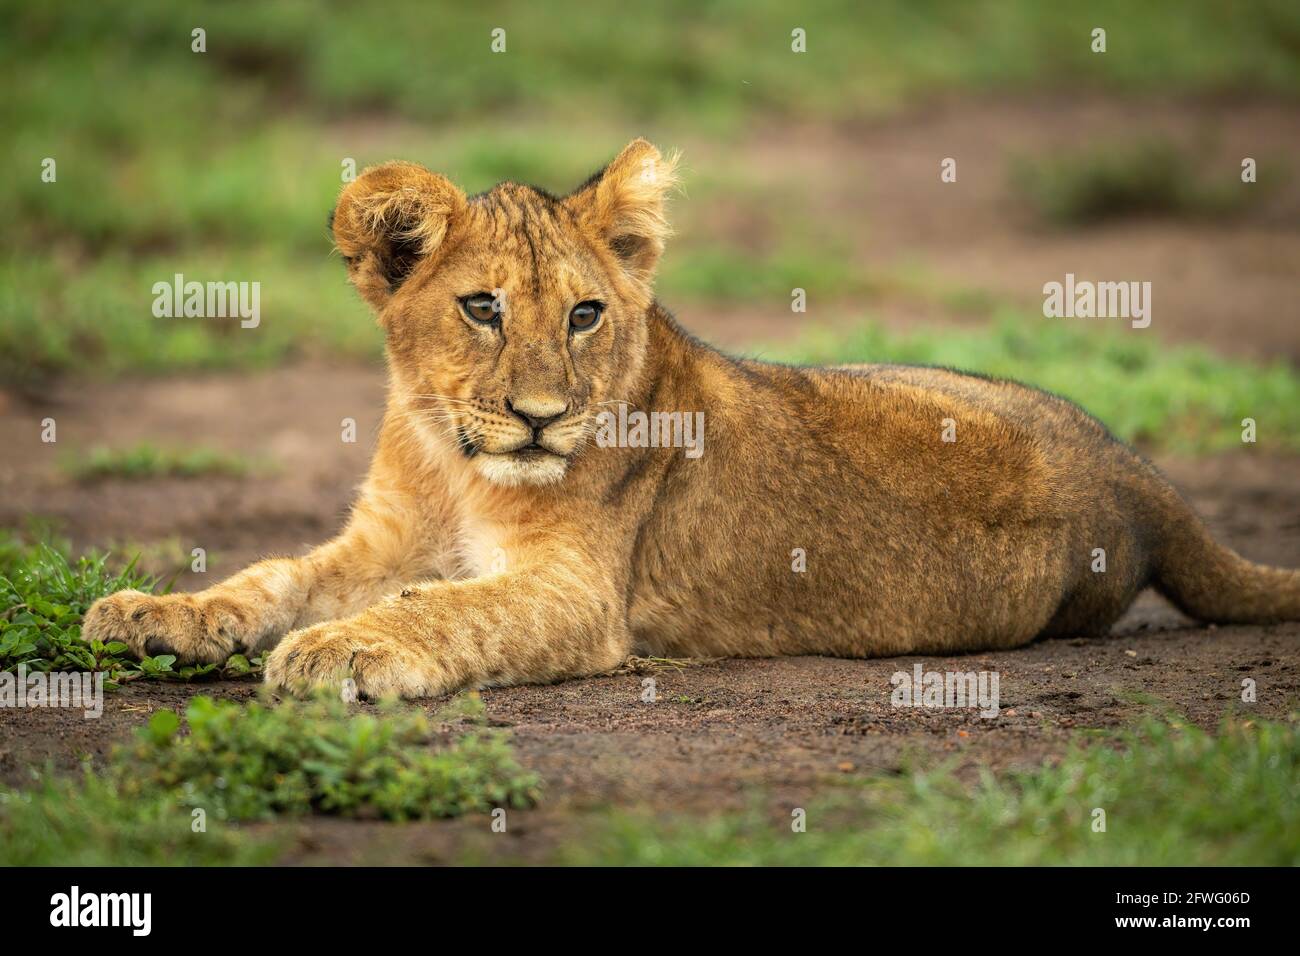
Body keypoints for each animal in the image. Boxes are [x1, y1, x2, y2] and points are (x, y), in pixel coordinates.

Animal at [83, 139, 1300, 699]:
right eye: (482, 307)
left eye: (584, 314)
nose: (541, 419)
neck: (452, 456)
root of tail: (1135, 469)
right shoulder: (377, 540)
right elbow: (268, 577)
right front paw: (153, 612)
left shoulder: (581, 596)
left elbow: (448, 609)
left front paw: (346, 647)